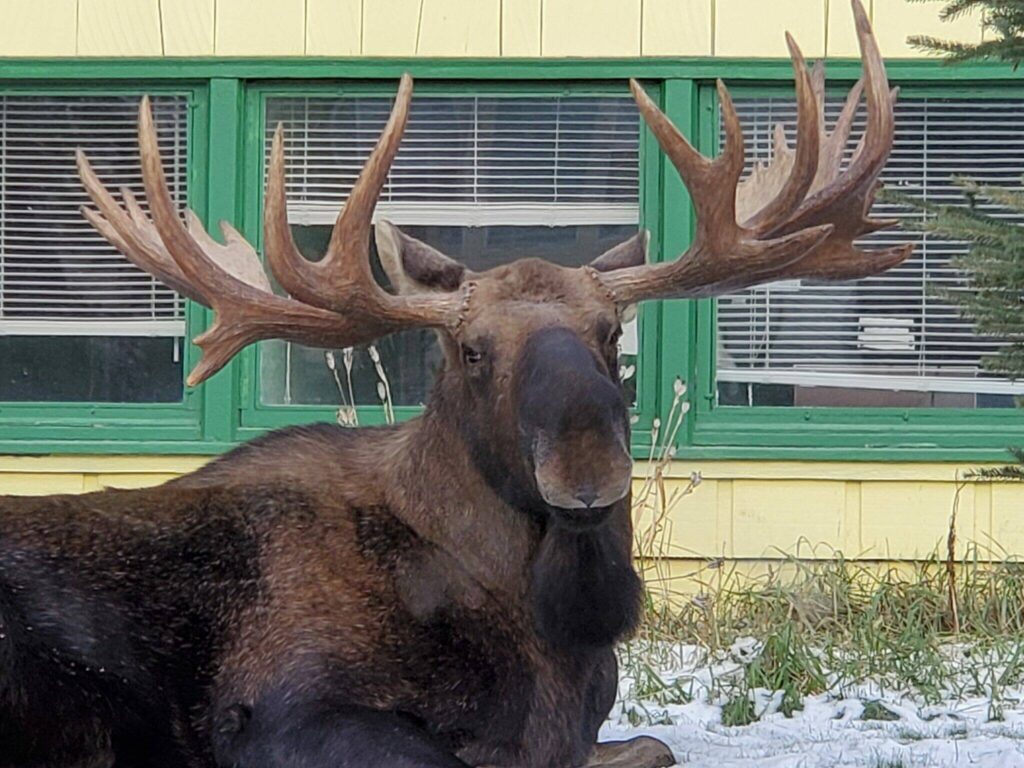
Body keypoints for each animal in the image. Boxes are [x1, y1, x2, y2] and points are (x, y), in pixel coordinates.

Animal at [0, 3, 908, 767]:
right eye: (471, 350)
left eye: (610, 334)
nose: (588, 468)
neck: (558, 637)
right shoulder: (285, 707)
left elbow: (654, 747)